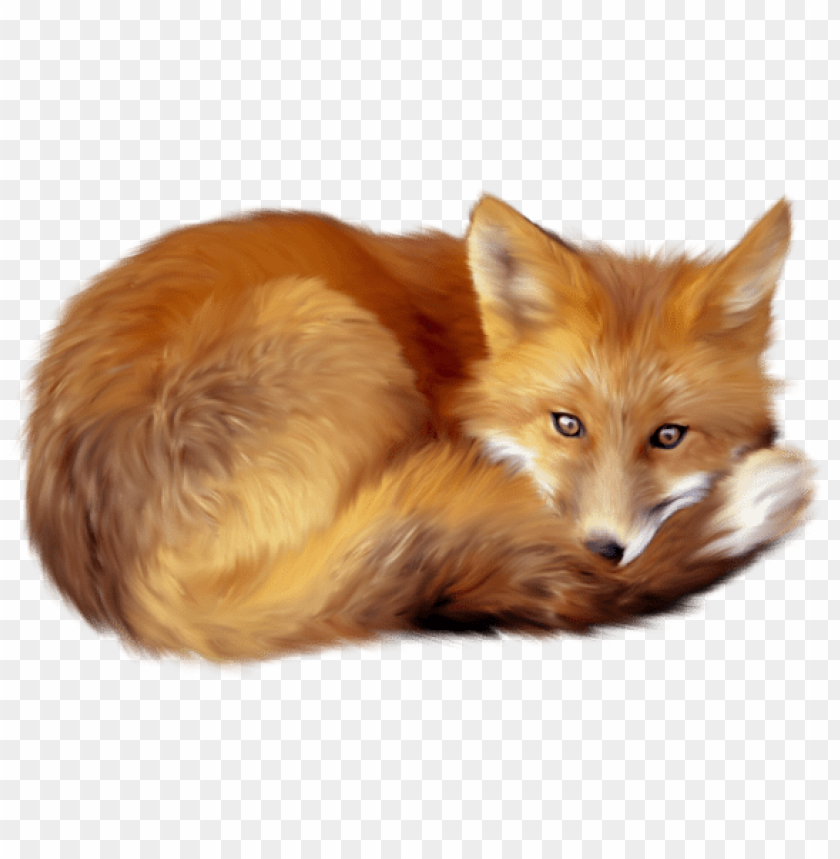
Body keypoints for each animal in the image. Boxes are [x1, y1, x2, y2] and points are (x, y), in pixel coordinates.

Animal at [25, 196, 814, 661]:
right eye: (567, 424)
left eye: (669, 436)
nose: (603, 551)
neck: (471, 352)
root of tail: (129, 595)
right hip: (332, 326)